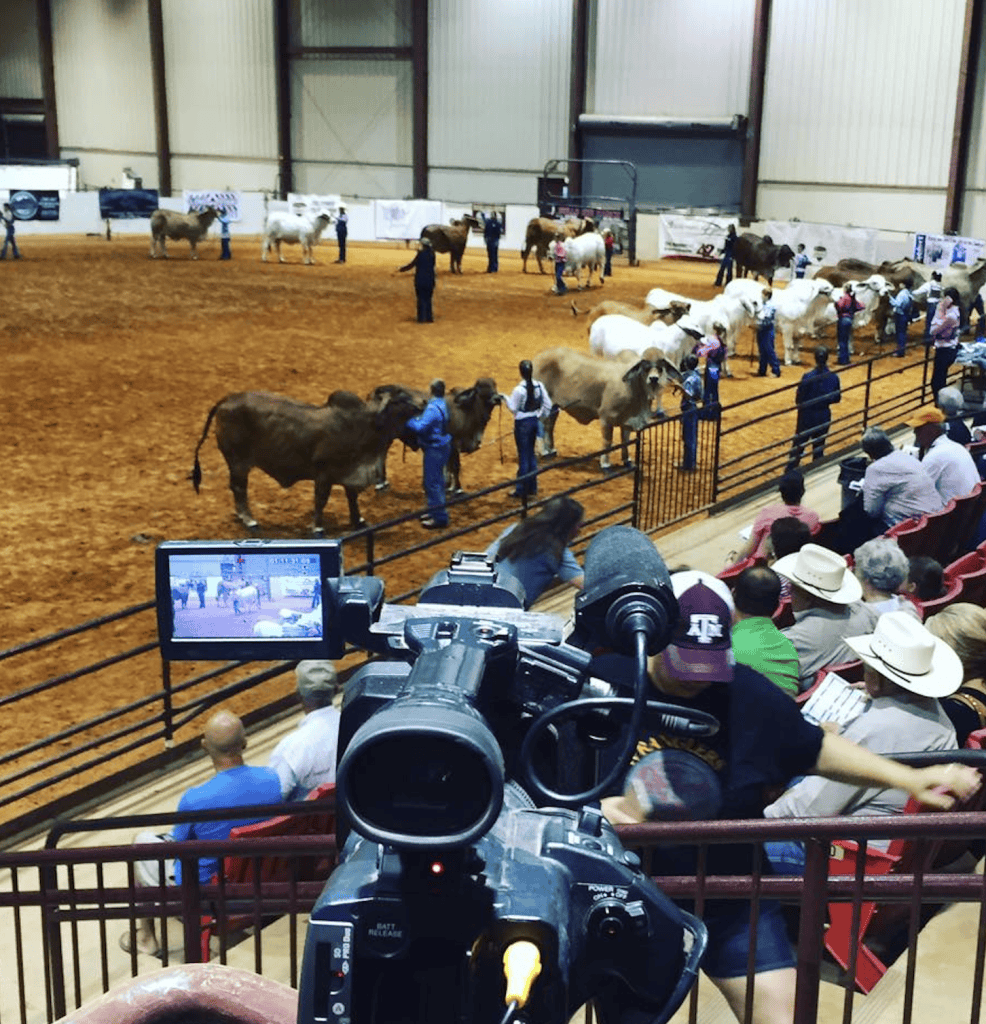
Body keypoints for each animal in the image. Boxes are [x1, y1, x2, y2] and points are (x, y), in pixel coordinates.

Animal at [190, 387, 420, 533]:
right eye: (401, 399)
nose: (423, 402)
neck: (365, 424)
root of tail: (227, 399)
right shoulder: (324, 473)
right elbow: (320, 500)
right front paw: (317, 527)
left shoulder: (350, 472)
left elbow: (352, 499)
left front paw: (359, 521)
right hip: (237, 461)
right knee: (239, 489)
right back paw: (250, 520)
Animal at [368, 377, 500, 493]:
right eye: (481, 387)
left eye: (495, 385)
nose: (497, 398)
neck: (467, 411)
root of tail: (379, 391)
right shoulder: (453, 444)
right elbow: (455, 467)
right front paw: (458, 489)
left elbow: (448, 467)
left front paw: (448, 486)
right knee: (380, 456)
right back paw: (380, 484)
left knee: (382, 456)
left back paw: (383, 483)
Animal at [532, 347, 681, 470]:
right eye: (645, 366)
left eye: (661, 367)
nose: (654, 378)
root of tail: (537, 358)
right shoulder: (606, 417)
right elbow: (607, 442)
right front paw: (605, 464)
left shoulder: (628, 420)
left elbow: (625, 441)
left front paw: (627, 460)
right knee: (540, 425)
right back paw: (544, 451)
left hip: (554, 407)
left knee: (549, 426)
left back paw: (551, 450)